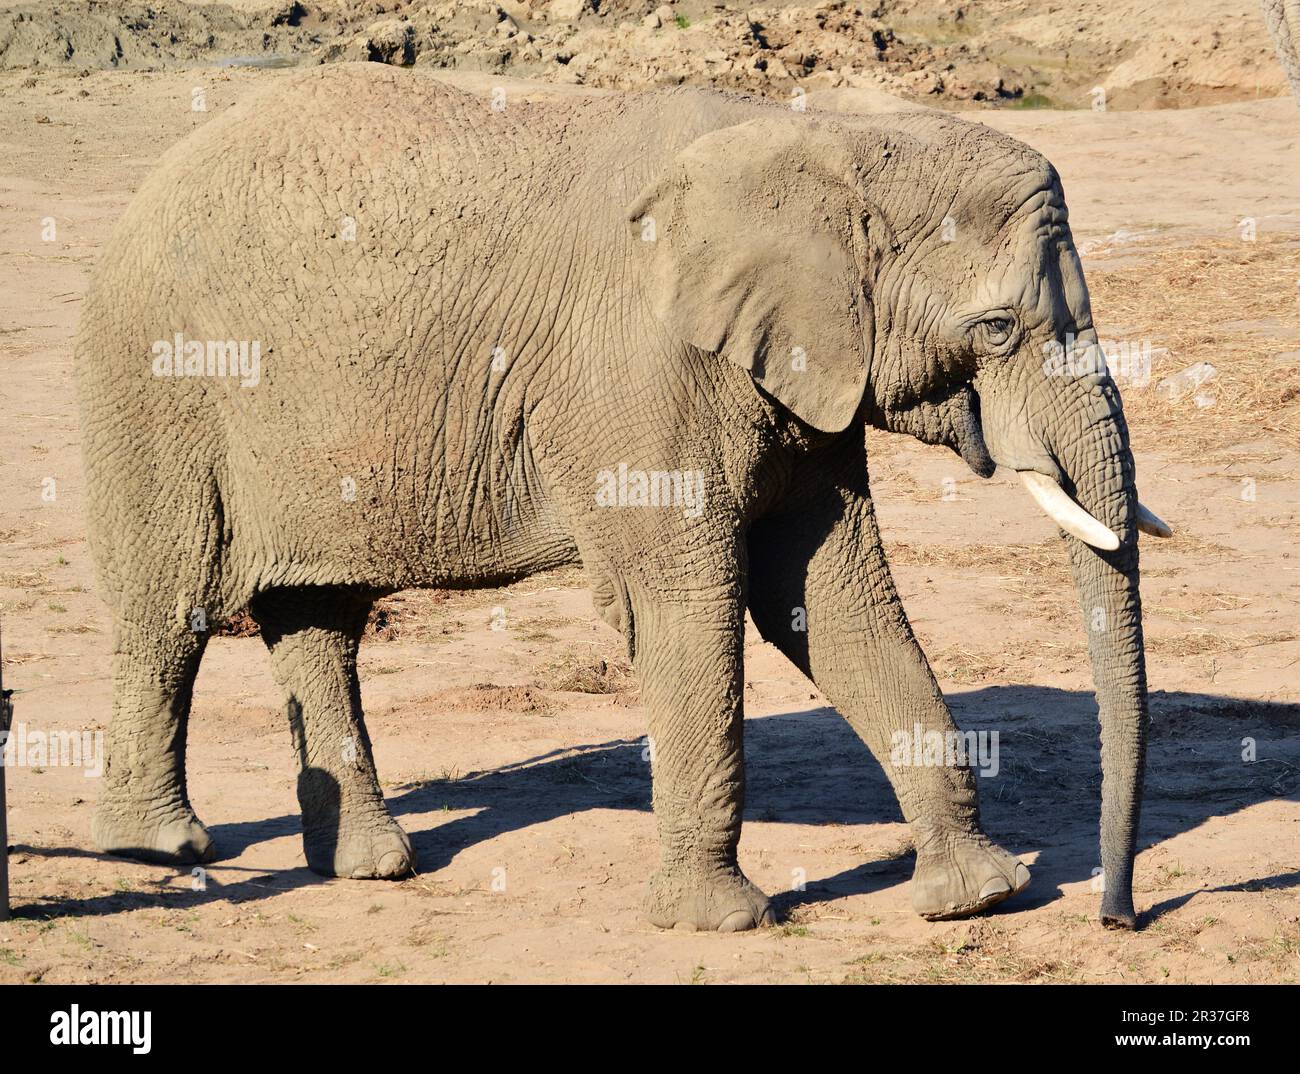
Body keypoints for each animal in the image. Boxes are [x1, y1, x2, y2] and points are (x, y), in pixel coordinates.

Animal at [75, 62, 1172, 931]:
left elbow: (829, 598)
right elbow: (687, 602)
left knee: (320, 622)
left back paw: (371, 866)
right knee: (170, 606)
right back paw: (165, 851)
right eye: (996, 329)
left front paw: (980, 896)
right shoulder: (636, 365)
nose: (1118, 916)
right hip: (159, 375)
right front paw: (721, 923)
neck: (826, 138)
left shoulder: (799, 374)